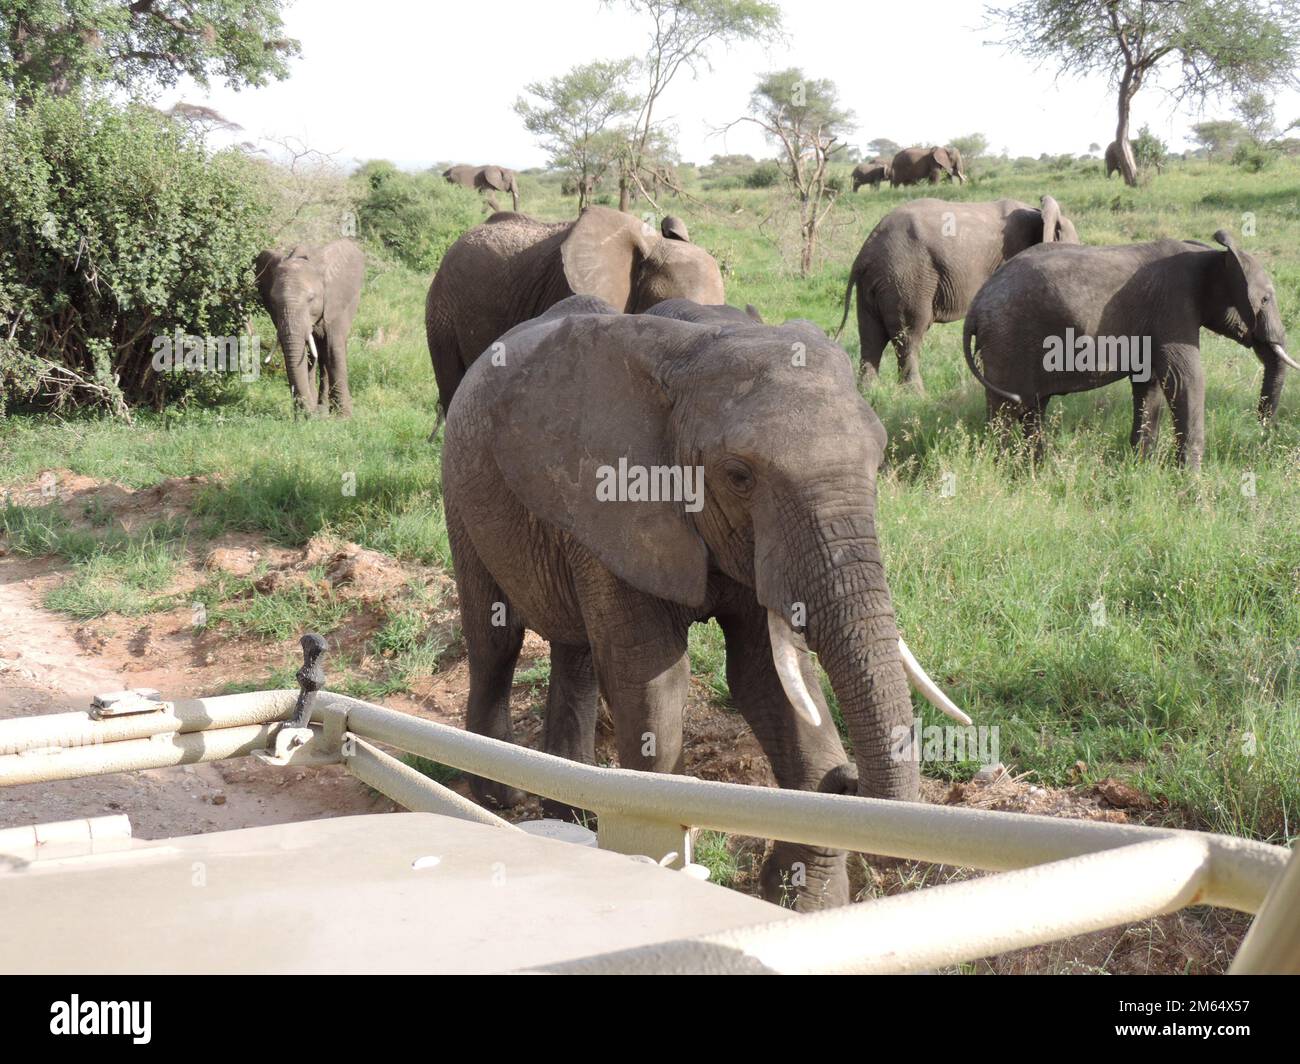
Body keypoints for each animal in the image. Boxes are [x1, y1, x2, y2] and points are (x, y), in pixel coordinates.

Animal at [253, 240, 364, 417]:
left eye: (311, 298)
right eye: (273, 301)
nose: (307, 415)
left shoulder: (334, 303)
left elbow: (334, 348)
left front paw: (344, 418)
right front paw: (309, 416)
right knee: (317, 354)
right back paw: (321, 410)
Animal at [441, 294, 970, 911]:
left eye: (880, 459)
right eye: (738, 476)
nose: (847, 780)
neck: (694, 350)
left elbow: (767, 678)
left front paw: (804, 898)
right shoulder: (615, 500)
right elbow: (651, 682)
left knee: (577, 653)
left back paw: (572, 813)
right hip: (462, 488)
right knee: (496, 641)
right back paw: (497, 795)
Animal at [836, 196, 1079, 391]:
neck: (1039, 212)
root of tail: (865, 251)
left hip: (874, 283)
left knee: (871, 336)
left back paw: (870, 393)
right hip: (906, 277)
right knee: (909, 334)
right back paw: (916, 395)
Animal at [963, 230, 1297, 470]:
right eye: (1266, 299)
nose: (1263, 428)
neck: (1210, 254)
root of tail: (976, 305)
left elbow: (1150, 384)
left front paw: (1141, 467)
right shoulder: (1173, 306)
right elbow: (1184, 379)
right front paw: (1188, 479)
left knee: (1032, 407)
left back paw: (1036, 470)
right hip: (1007, 341)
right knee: (1007, 410)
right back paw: (1005, 470)